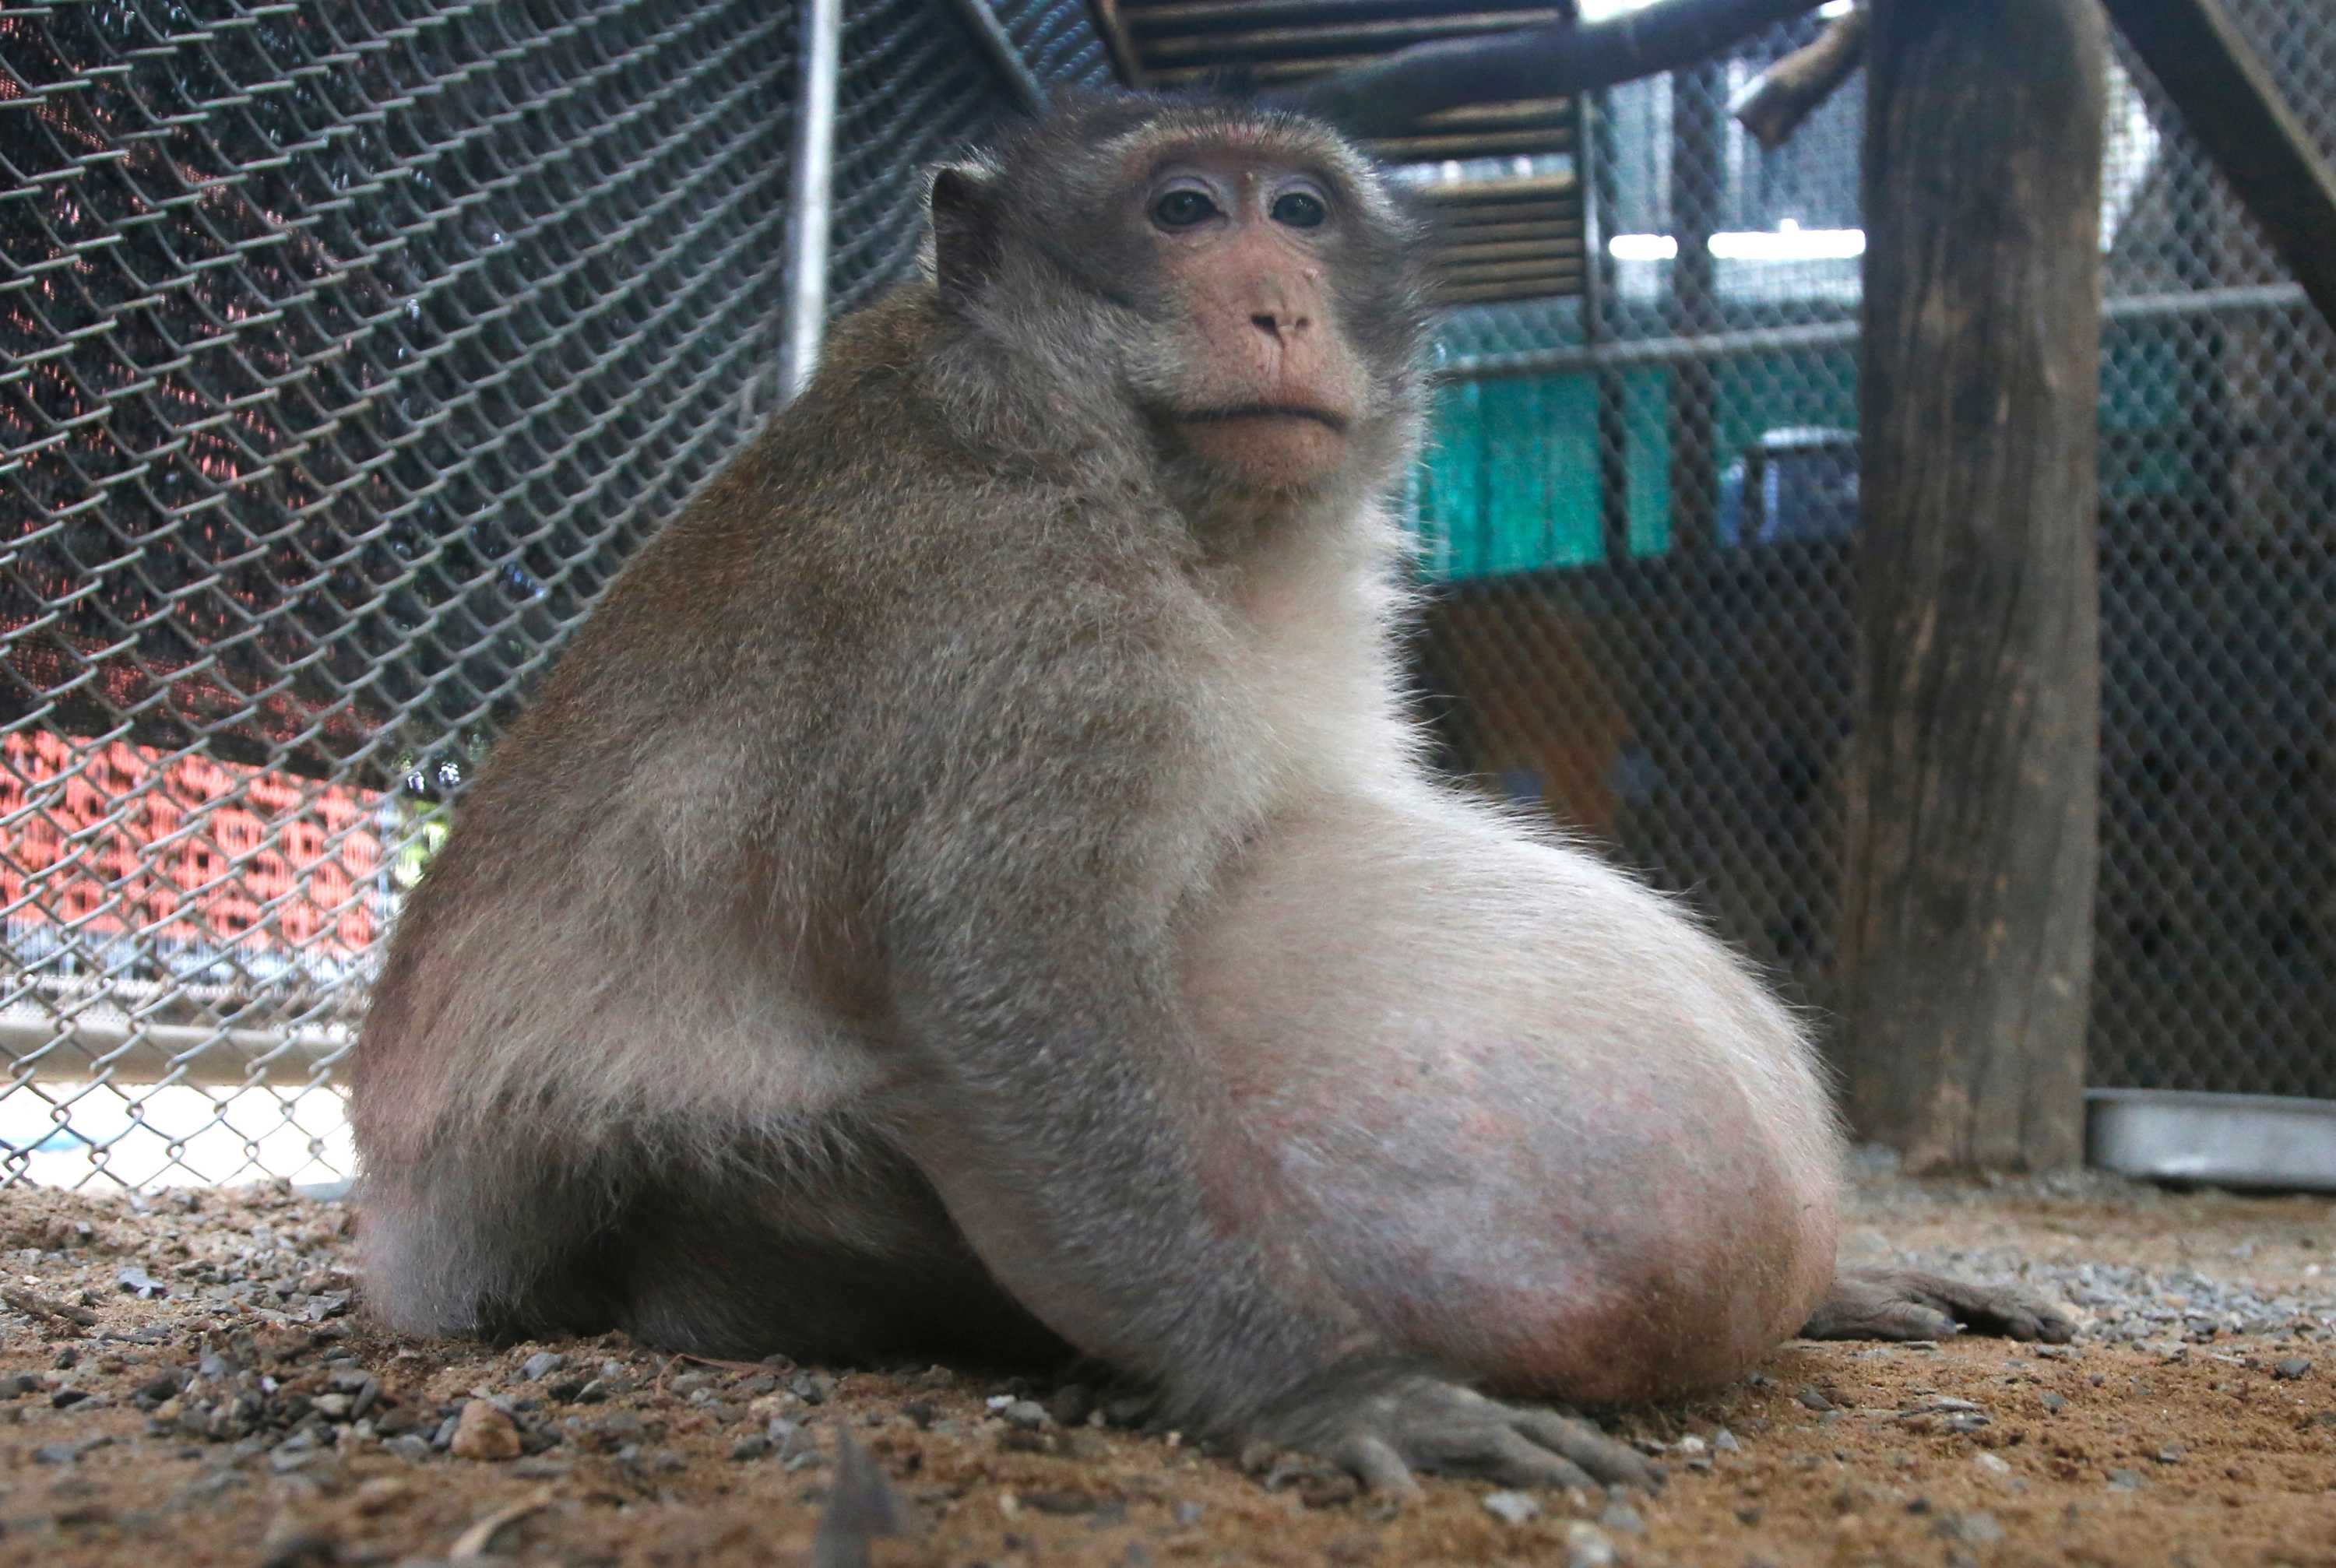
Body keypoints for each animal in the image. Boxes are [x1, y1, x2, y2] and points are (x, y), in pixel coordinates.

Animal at [349, 91, 2070, 1497]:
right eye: (1183, 209)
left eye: (1296, 211)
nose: (1275, 300)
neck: (1132, 474)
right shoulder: (1024, 619)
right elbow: (1003, 971)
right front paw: (1322, 1384)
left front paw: (1849, 1277)